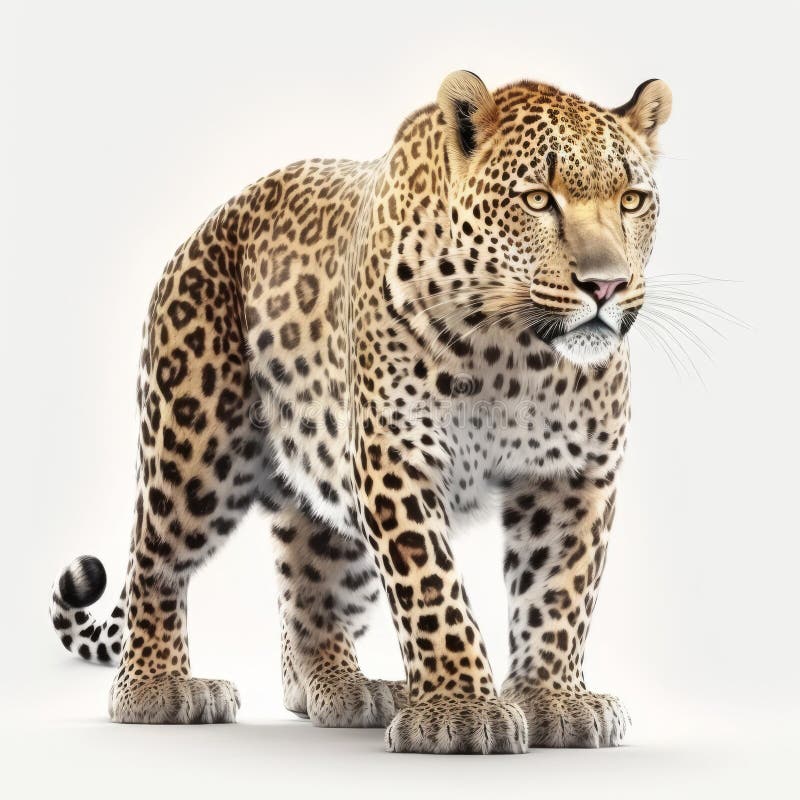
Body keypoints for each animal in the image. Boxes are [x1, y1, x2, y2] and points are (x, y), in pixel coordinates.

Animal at [49, 71, 672, 754]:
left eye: (632, 200)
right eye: (537, 199)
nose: (606, 286)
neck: (517, 350)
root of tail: (203, 229)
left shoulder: (572, 473)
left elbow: (559, 592)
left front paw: (552, 698)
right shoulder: (397, 456)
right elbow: (433, 588)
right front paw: (461, 709)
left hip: (326, 493)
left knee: (309, 590)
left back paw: (344, 689)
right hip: (192, 448)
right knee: (154, 563)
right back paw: (158, 688)